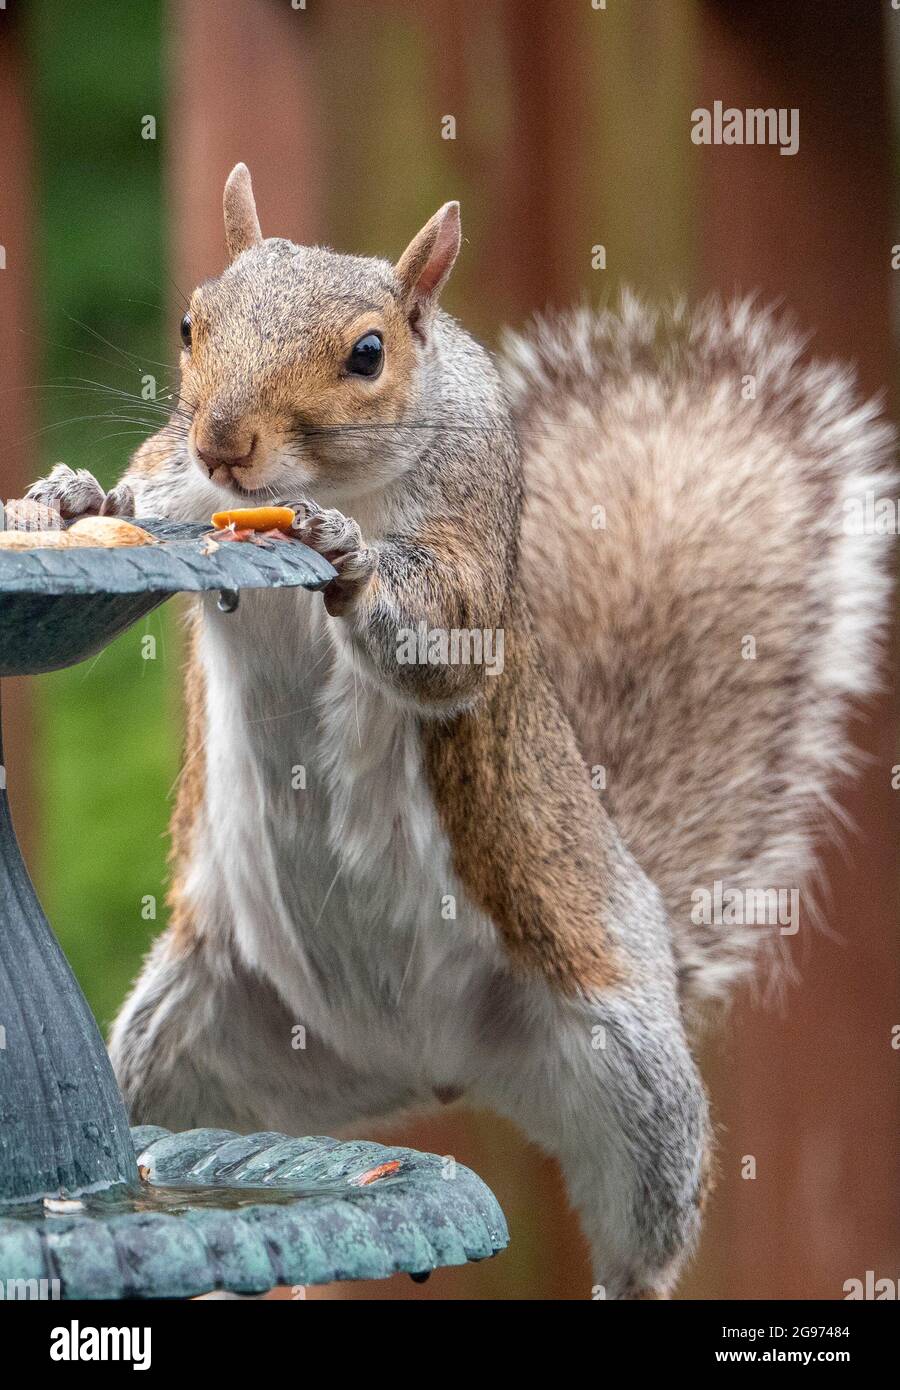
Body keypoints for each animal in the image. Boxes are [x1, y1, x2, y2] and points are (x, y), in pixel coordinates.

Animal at [28, 164, 895, 1298]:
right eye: (190, 322)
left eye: (368, 353)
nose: (224, 441)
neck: (315, 483)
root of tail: (425, 1064)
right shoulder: (180, 482)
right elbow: (142, 493)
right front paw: (71, 496)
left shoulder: (470, 526)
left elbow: (444, 640)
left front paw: (350, 562)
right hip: (182, 1050)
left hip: (627, 1069)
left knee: (648, 1226)